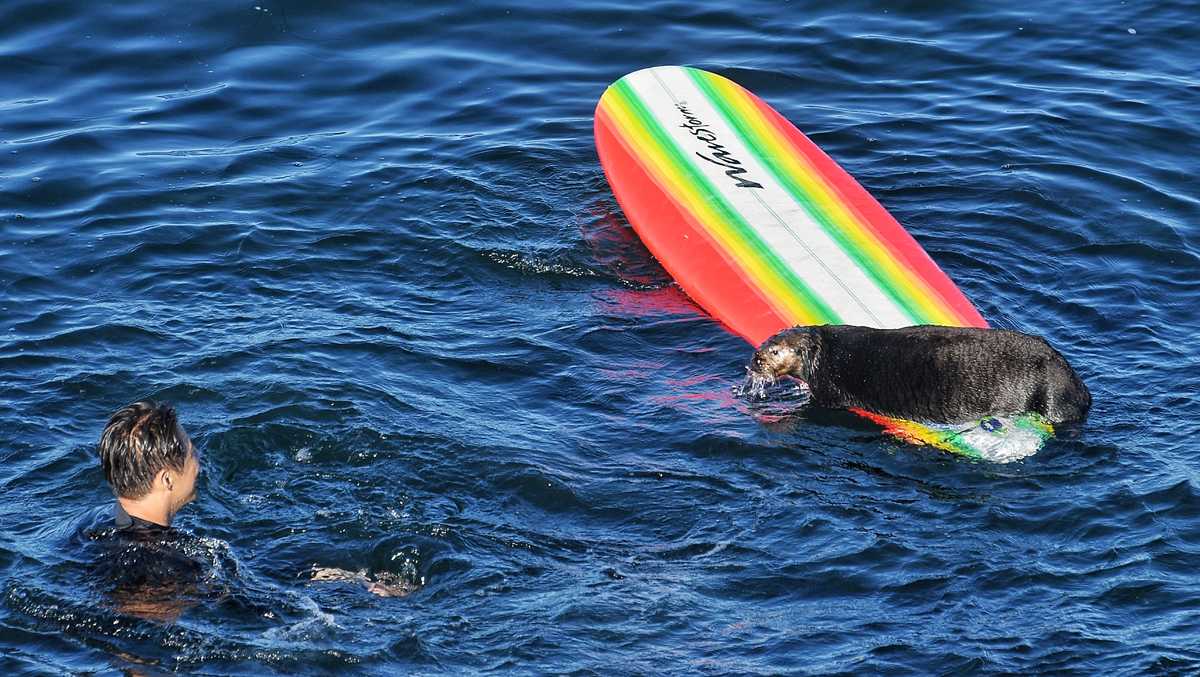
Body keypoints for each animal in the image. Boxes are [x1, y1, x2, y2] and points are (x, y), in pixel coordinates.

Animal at [749, 325, 1091, 426]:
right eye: (763, 344)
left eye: (774, 352)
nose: (755, 360)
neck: (827, 351)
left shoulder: (827, 389)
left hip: (1051, 394)